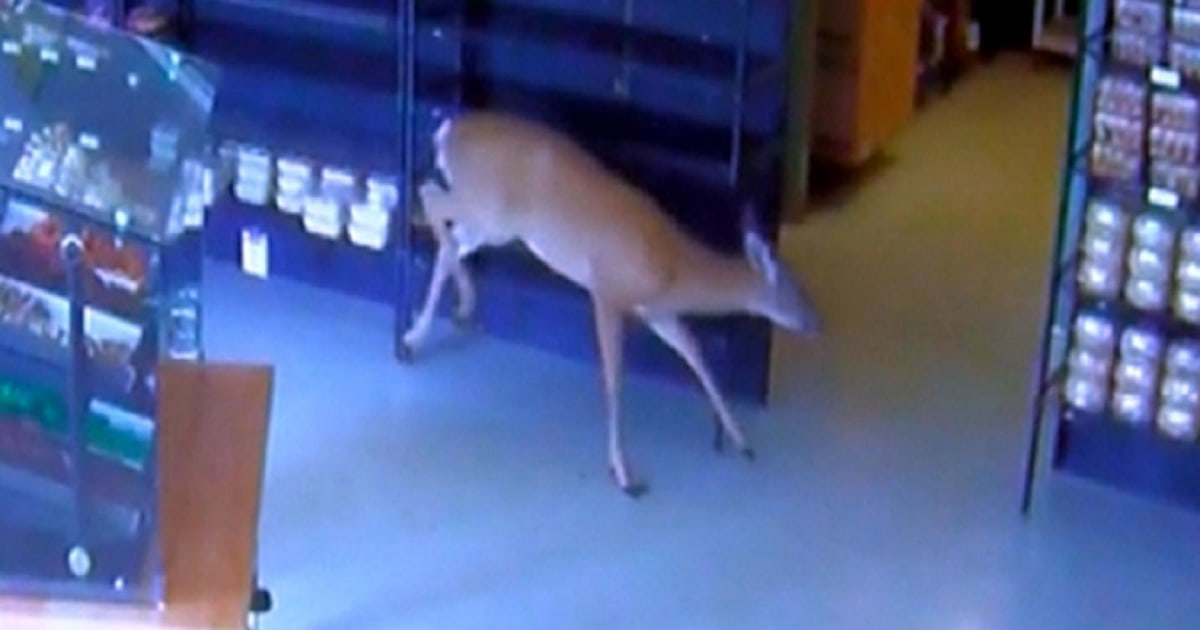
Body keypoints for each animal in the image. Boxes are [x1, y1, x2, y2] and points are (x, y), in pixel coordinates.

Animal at [400, 111, 821, 497]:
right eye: (795, 292)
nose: (815, 324)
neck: (675, 266)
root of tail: (448, 130)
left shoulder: (658, 312)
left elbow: (695, 352)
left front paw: (741, 441)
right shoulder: (607, 291)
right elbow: (615, 379)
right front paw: (624, 475)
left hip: (491, 225)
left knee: (450, 241)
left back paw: (433, 327)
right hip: (488, 209)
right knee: (430, 198)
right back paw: (440, 319)